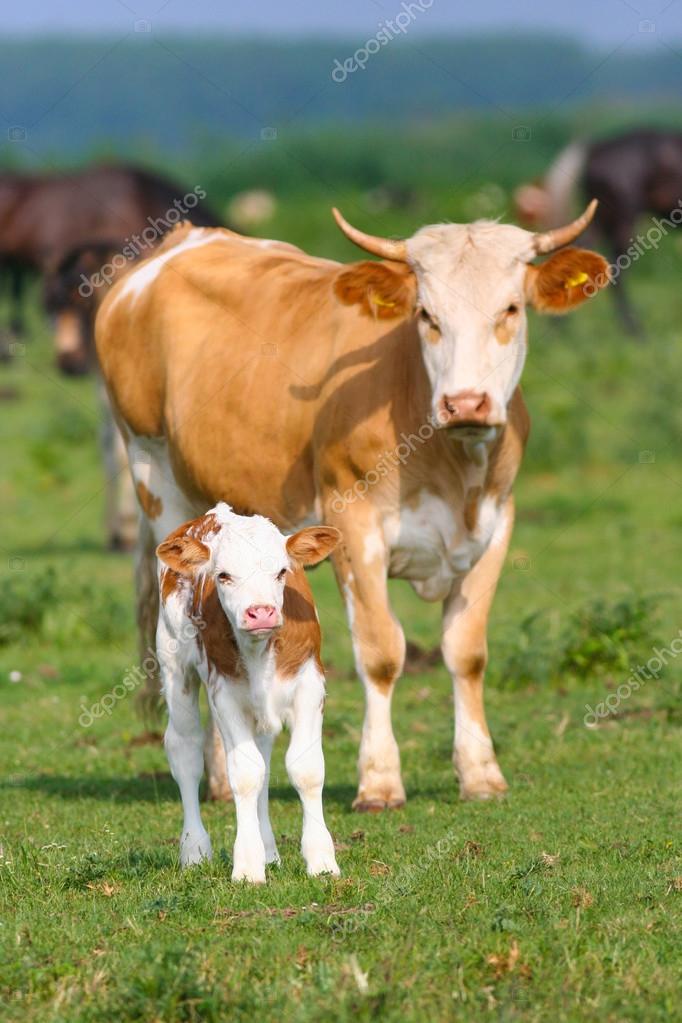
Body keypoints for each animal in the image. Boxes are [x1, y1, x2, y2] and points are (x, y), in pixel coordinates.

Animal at [95, 203, 609, 812]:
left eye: (511, 308)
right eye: (427, 315)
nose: (465, 402)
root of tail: (173, 245)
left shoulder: (496, 524)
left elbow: (467, 652)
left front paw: (481, 772)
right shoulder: (355, 528)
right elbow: (381, 652)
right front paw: (380, 780)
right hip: (155, 483)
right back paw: (220, 777)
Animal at [156, 502, 341, 881]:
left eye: (281, 571)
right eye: (224, 575)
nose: (261, 613)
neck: (260, 653)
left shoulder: (310, 685)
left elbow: (305, 768)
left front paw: (321, 859)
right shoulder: (223, 693)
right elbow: (244, 773)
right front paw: (247, 866)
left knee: (266, 761)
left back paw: (269, 849)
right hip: (174, 666)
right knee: (185, 750)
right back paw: (194, 849)